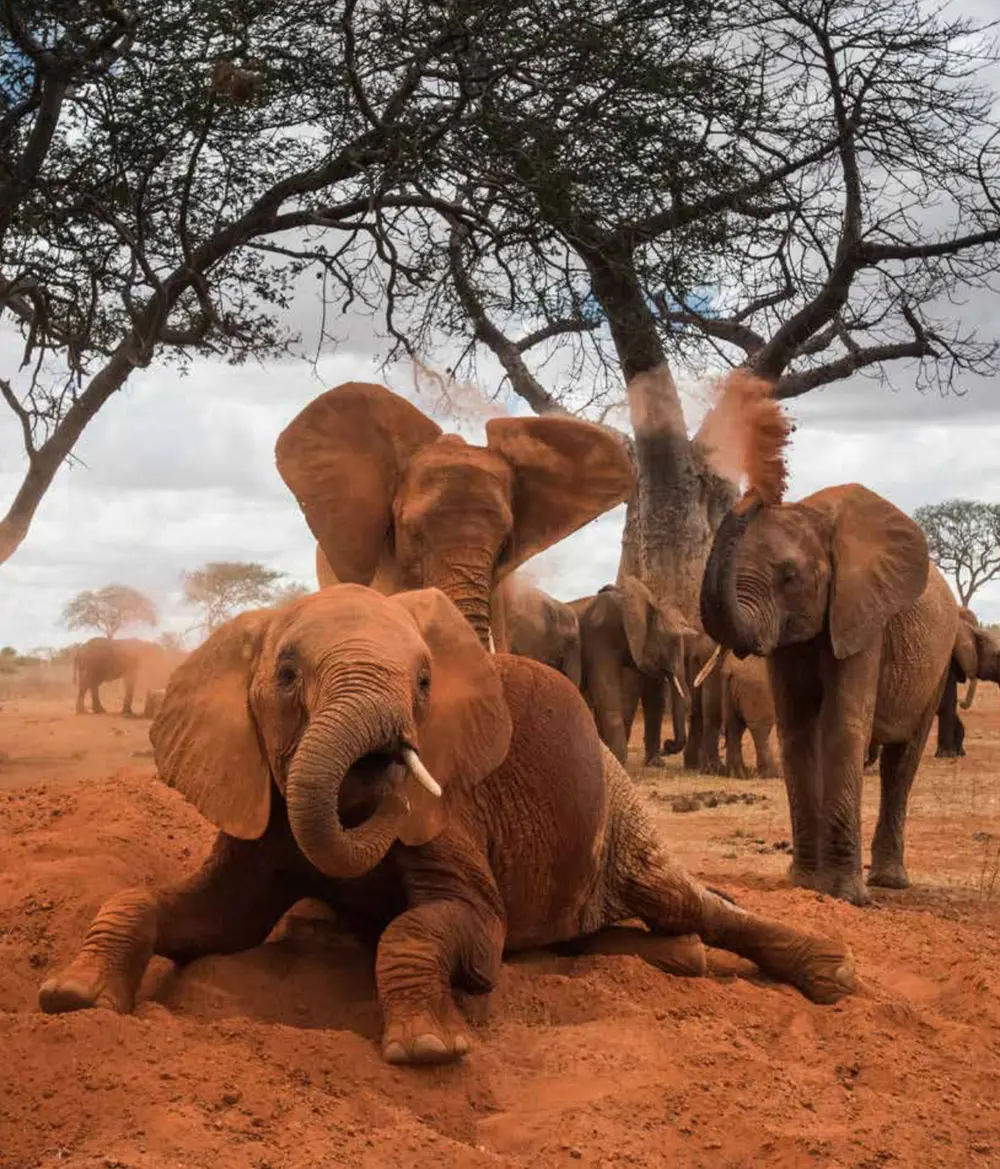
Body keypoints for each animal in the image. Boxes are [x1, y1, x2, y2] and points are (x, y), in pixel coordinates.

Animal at [570, 577, 696, 768]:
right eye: (671, 642)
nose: (667, 746)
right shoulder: (600, 638)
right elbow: (606, 690)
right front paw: (619, 759)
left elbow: (655, 699)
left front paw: (655, 763)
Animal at [700, 482, 958, 906]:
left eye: (790, 577)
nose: (759, 491)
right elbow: (795, 729)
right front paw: (806, 883)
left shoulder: (862, 616)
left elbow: (843, 724)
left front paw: (844, 896)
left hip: (938, 664)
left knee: (901, 763)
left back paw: (889, 882)